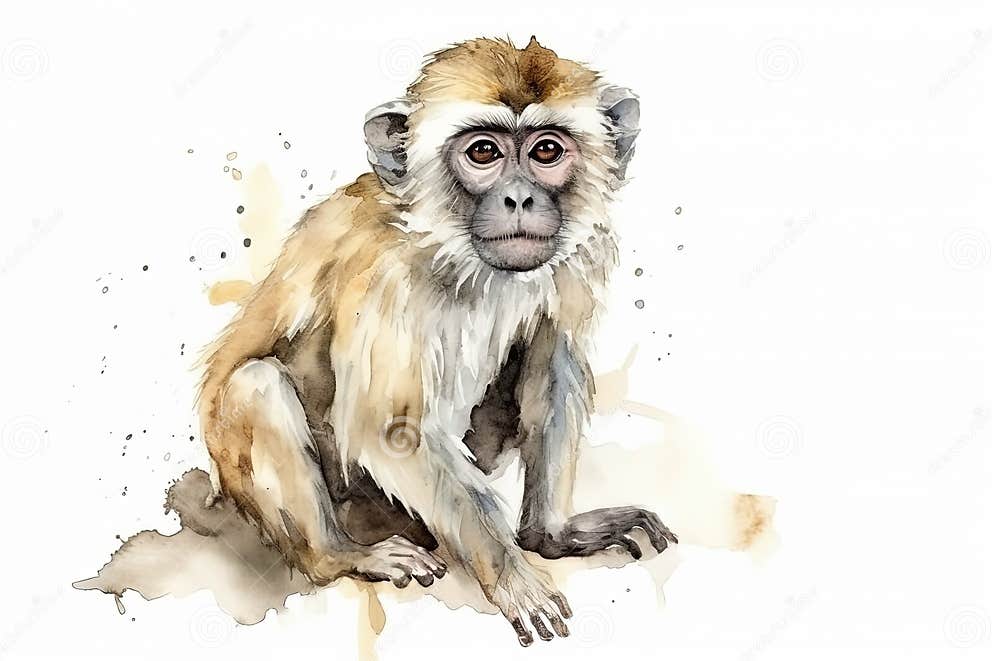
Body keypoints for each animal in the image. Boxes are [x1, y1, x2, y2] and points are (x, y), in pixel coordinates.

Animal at [197, 36, 677, 646]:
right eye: (483, 153)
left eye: (547, 151)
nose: (519, 200)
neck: (452, 247)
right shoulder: (390, 283)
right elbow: (392, 430)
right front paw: (510, 576)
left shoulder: (571, 264)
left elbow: (554, 367)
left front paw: (551, 537)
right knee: (255, 383)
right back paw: (339, 557)